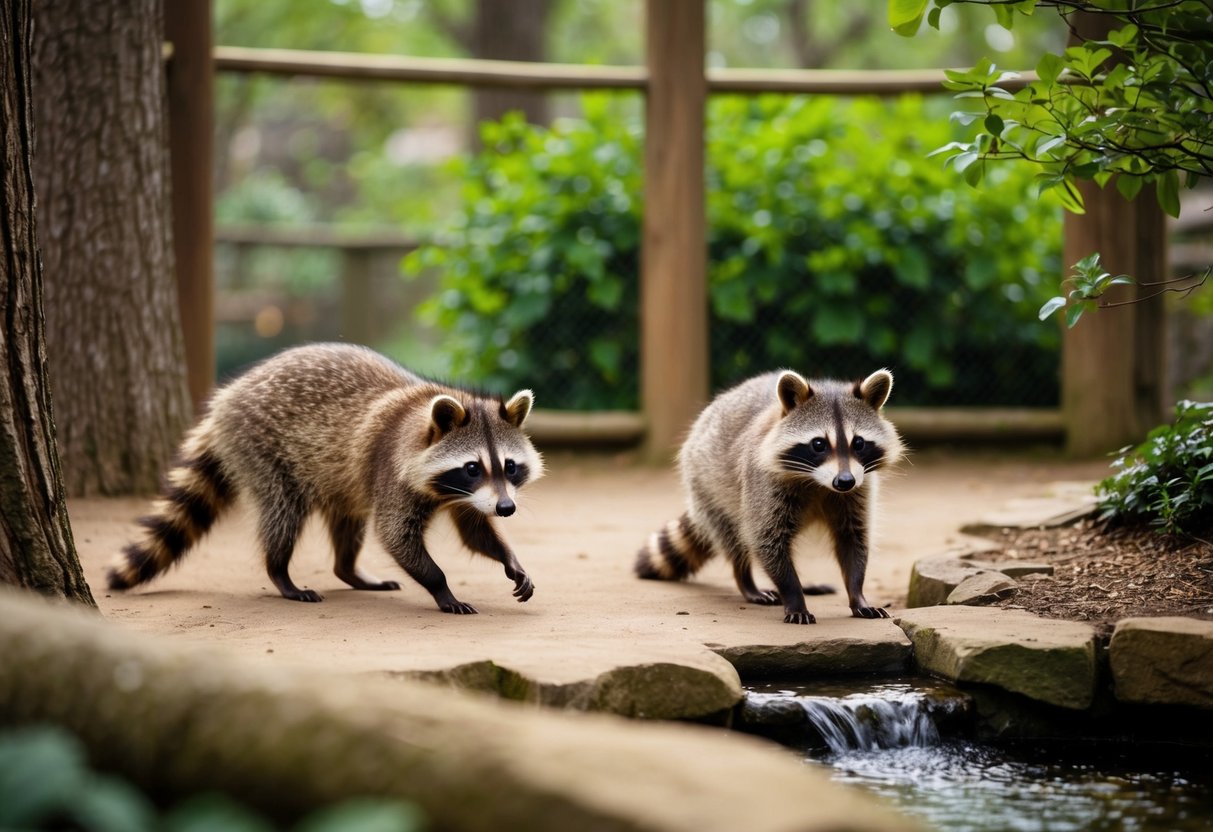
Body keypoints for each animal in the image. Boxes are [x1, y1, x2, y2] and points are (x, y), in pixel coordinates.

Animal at [107, 343, 543, 614]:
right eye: (472, 467)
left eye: (509, 466)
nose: (507, 508)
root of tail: (223, 403)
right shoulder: (393, 472)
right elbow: (394, 533)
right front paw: (441, 586)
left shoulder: (467, 495)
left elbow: (474, 531)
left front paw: (509, 557)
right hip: (263, 450)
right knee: (283, 514)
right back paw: (280, 571)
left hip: (338, 476)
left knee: (347, 519)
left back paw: (348, 569)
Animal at [635, 369, 903, 624]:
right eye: (818, 444)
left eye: (858, 443)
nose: (845, 481)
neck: (819, 484)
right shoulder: (763, 483)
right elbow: (766, 540)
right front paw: (794, 596)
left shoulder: (858, 488)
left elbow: (853, 538)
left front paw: (857, 594)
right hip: (706, 484)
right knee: (733, 539)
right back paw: (746, 580)